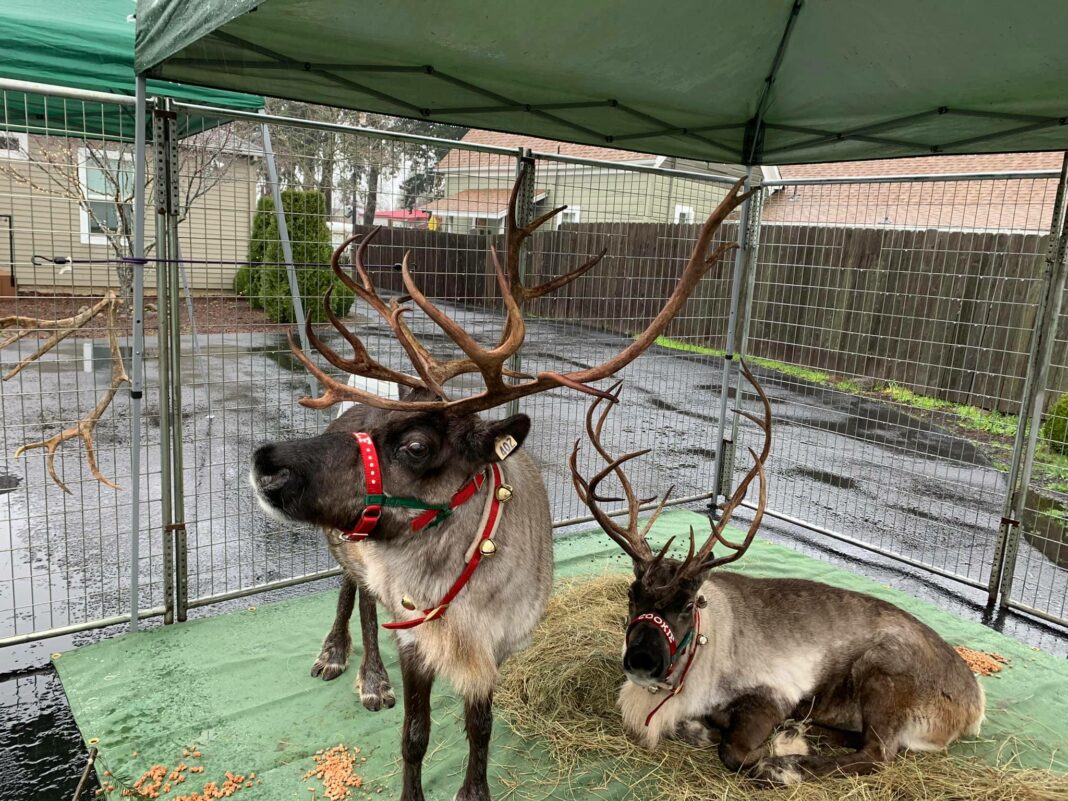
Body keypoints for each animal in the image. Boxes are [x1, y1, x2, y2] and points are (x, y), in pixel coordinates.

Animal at [249, 163, 754, 801]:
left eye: (416, 446)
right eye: (365, 426)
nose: (266, 460)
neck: (459, 590)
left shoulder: (499, 643)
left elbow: (480, 726)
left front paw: (475, 789)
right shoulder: (415, 637)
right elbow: (415, 733)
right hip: (345, 546)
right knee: (352, 592)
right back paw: (351, 664)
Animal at [570, 362, 986, 787]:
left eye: (687, 604)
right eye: (631, 594)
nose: (640, 658)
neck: (705, 645)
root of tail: (974, 700)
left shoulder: (771, 695)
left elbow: (734, 751)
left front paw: (775, 756)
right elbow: (692, 727)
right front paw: (739, 734)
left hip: (882, 673)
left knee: (877, 753)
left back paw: (791, 761)